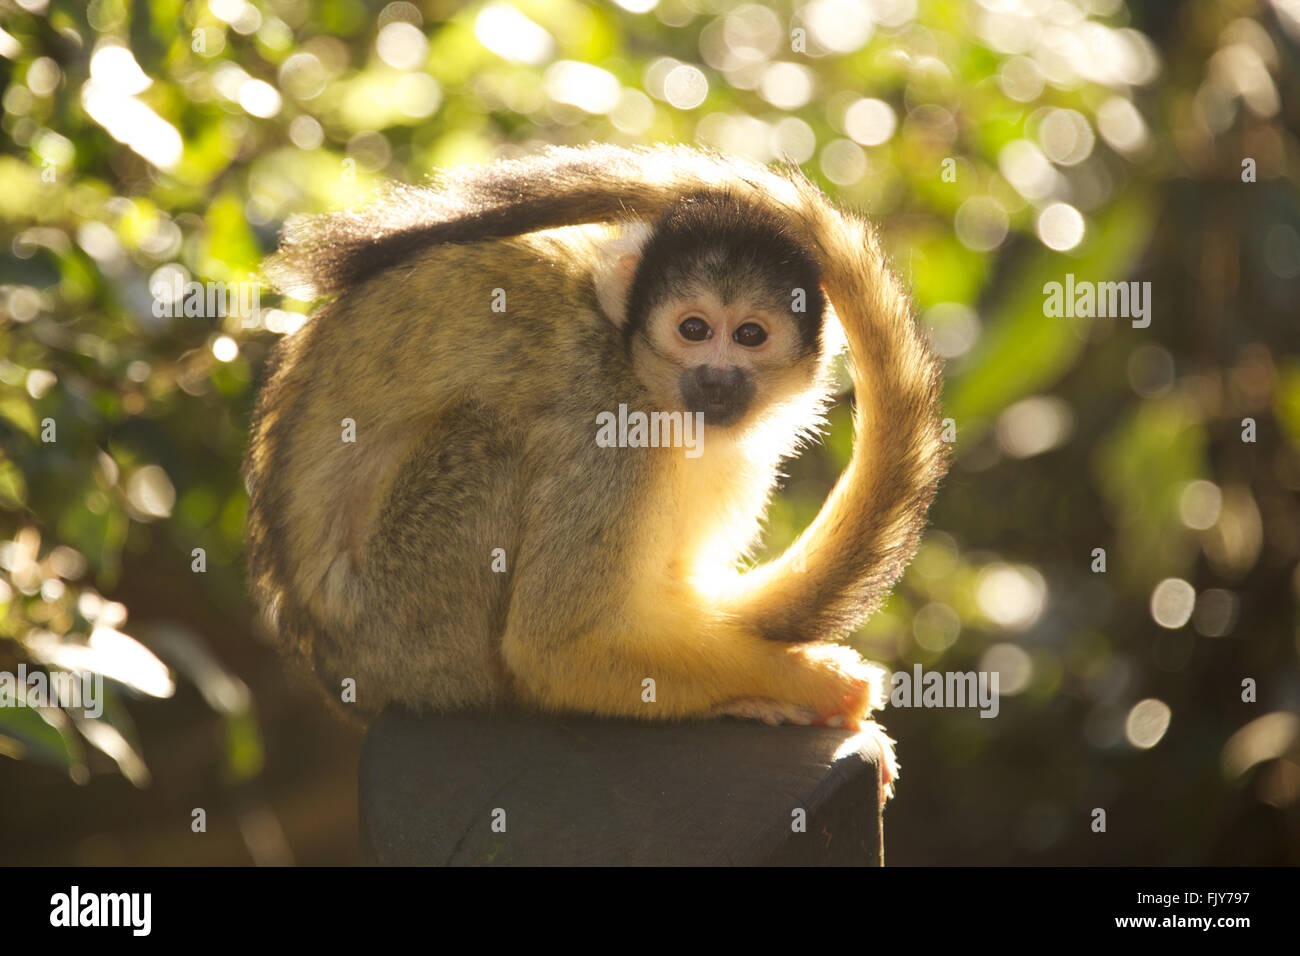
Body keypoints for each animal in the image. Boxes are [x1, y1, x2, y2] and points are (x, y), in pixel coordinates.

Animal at [244, 145, 949, 795]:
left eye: (750, 335)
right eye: (694, 329)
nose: (717, 379)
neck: (635, 365)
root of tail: (335, 662)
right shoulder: (609, 422)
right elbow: (556, 648)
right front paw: (808, 683)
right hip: (401, 628)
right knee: (490, 439)